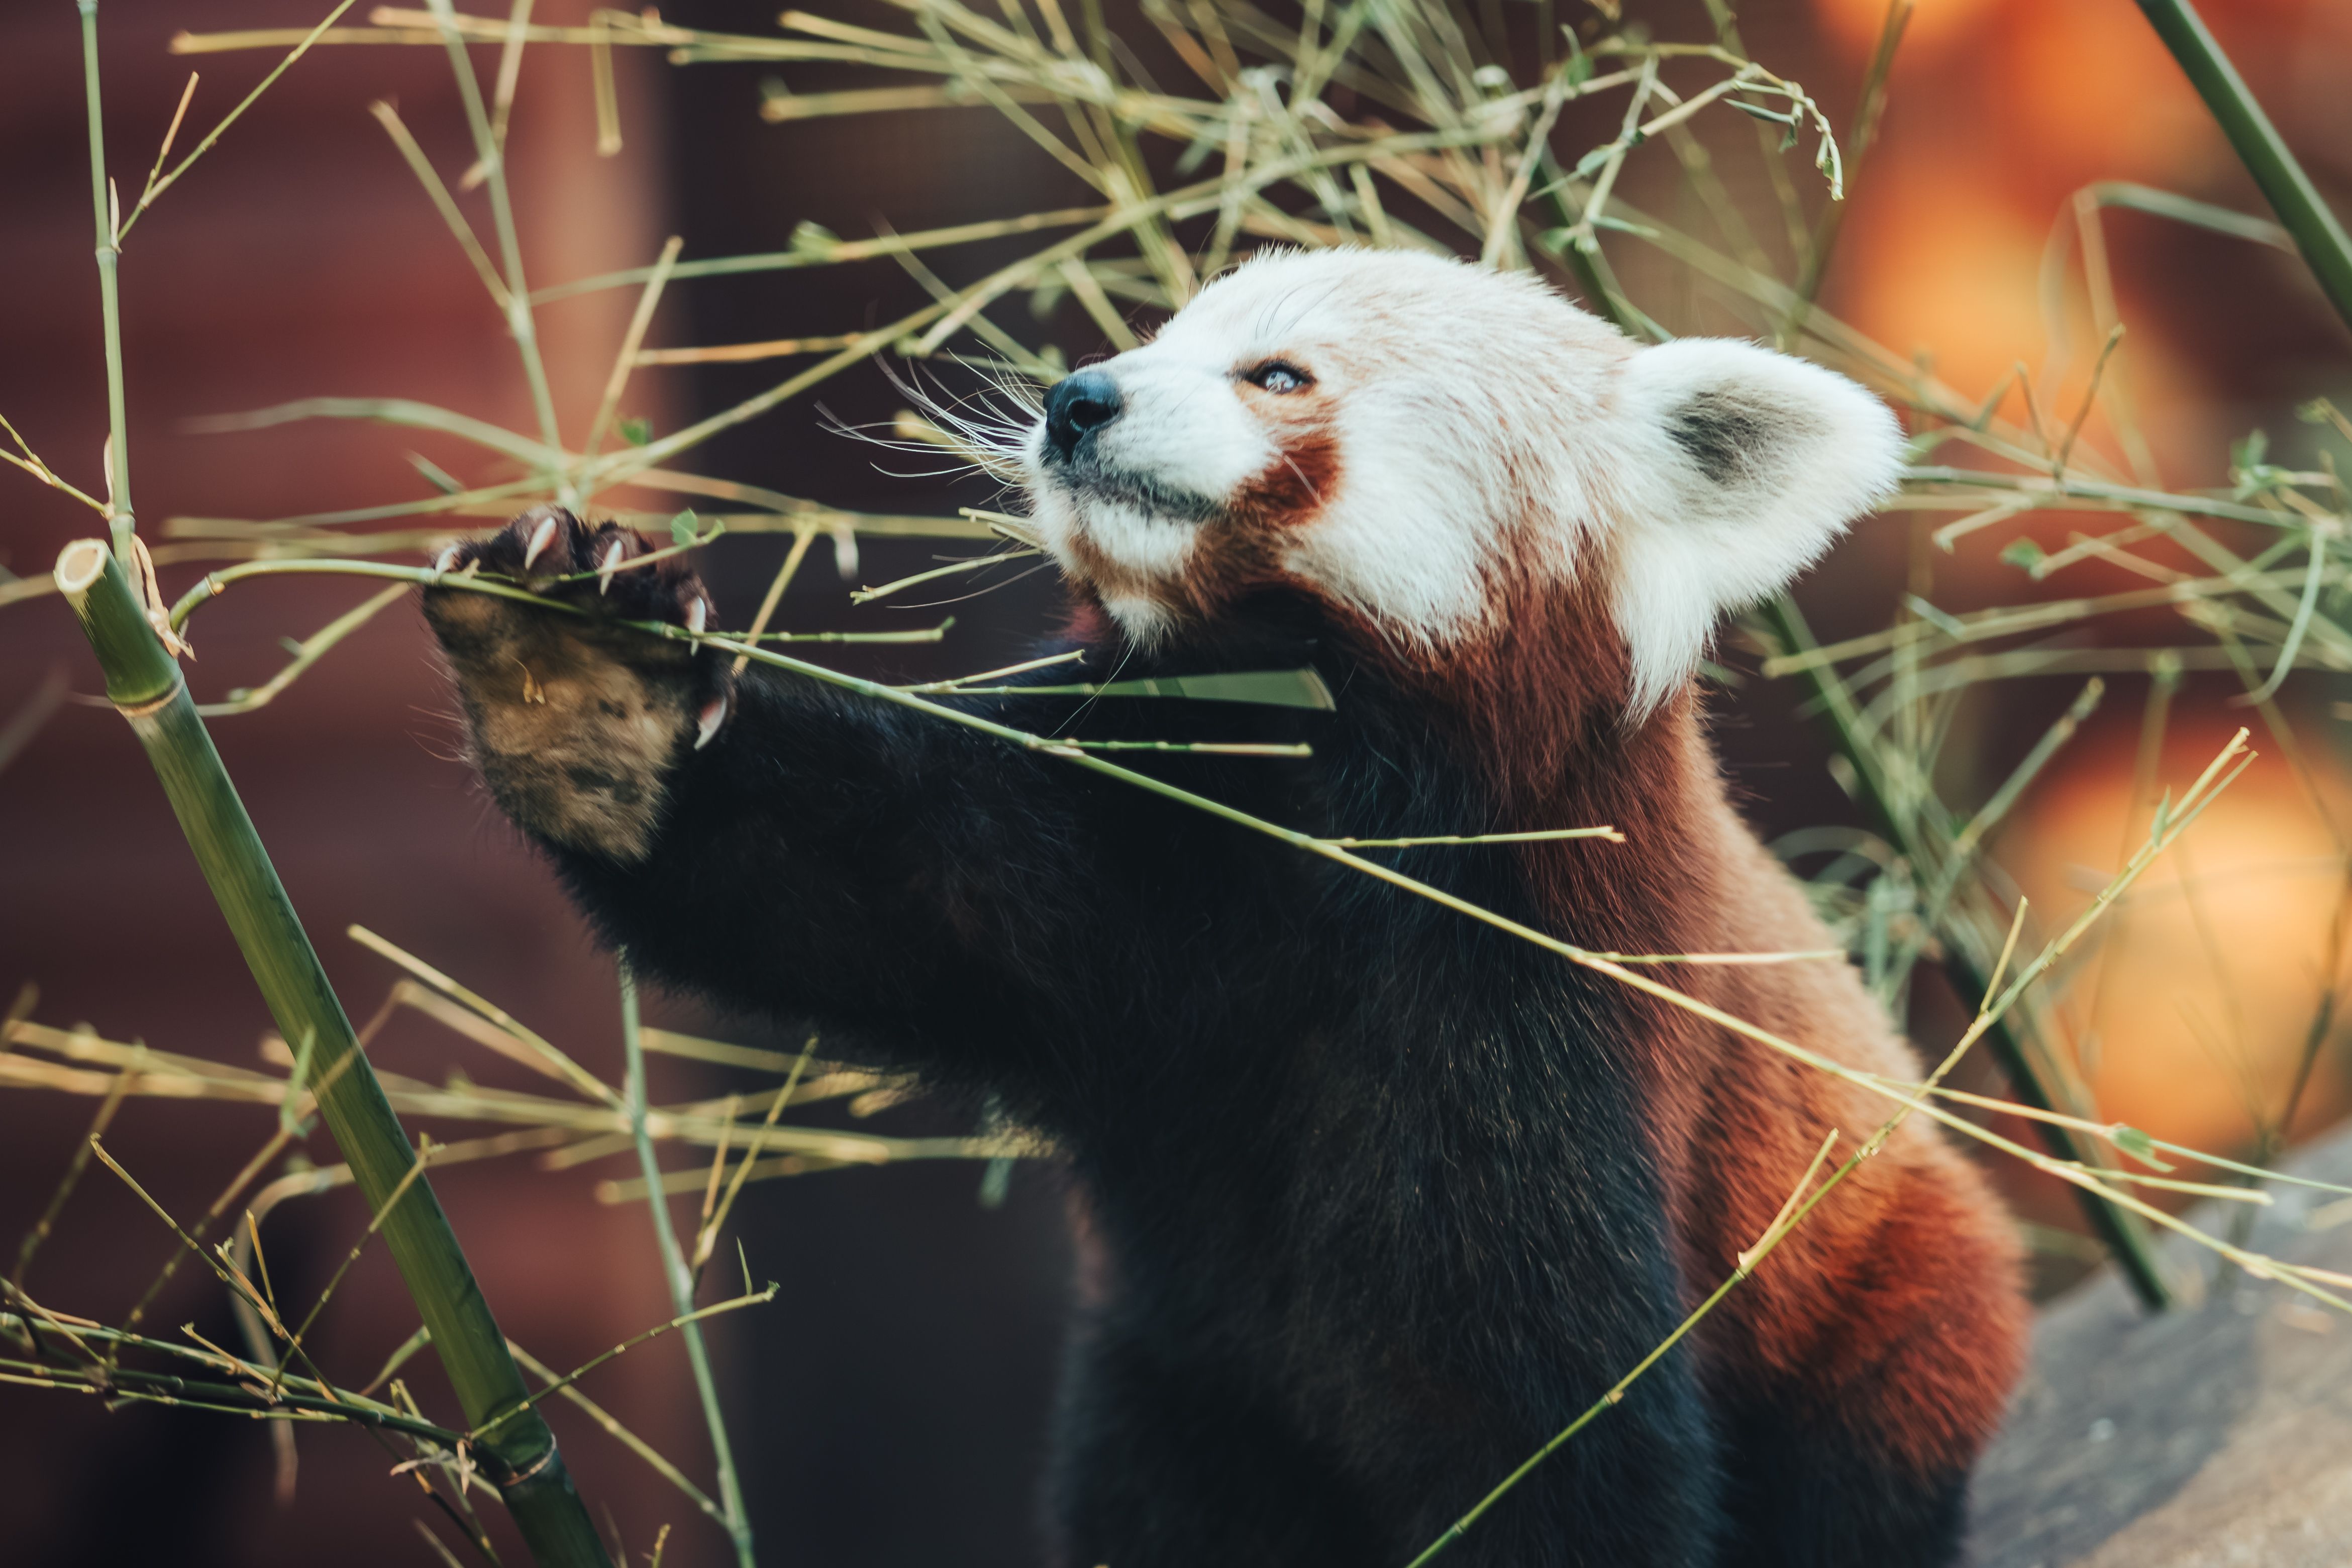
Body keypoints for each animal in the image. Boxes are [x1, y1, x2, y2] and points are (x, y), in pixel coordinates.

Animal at [423, 247, 2027, 1567]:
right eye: (1153, 337)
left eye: (1276, 374)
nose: (1076, 401)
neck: (1302, 806)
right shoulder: (1108, 873)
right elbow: (849, 880)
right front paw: (581, 681)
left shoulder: (1542, 1006)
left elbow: (1551, 1438)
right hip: (1175, 1390)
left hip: (1880, 1329)